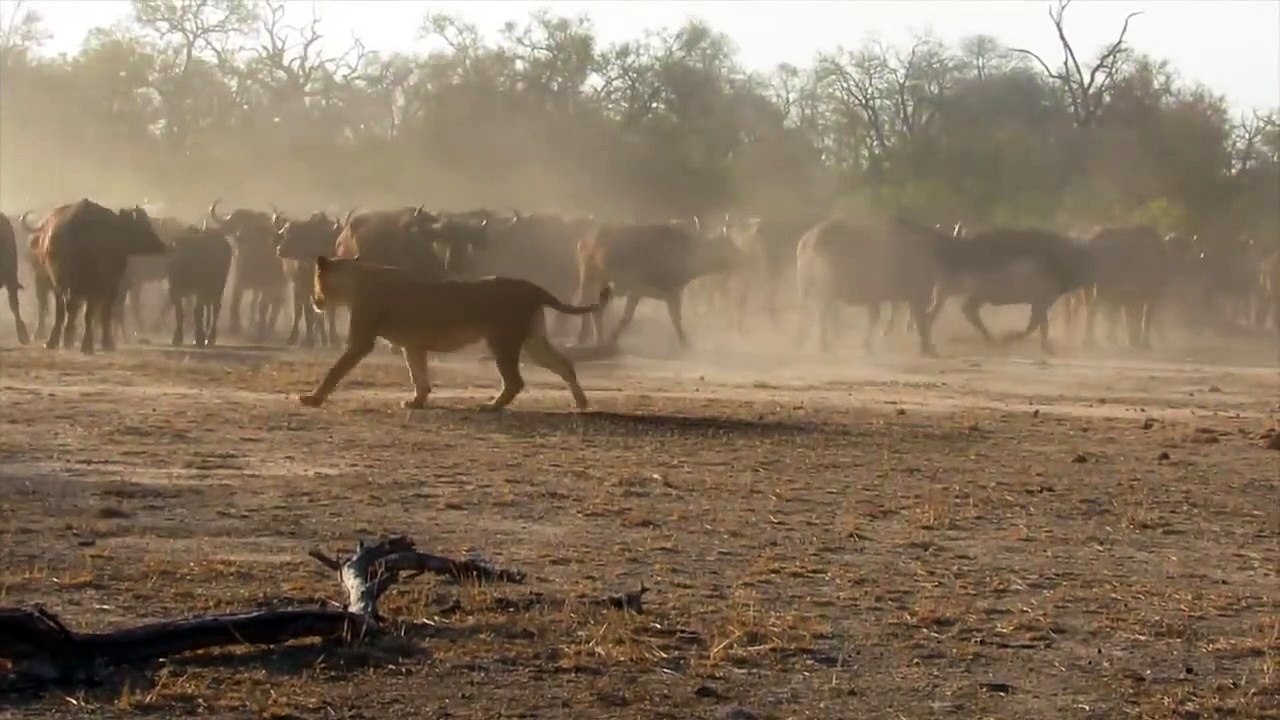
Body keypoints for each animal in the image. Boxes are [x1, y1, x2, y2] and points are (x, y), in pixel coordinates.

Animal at [299, 255, 611, 411]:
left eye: (315, 279)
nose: (314, 299)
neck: (357, 281)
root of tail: (534, 287)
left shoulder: (361, 341)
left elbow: (335, 370)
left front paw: (313, 398)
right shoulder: (413, 345)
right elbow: (418, 375)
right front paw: (417, 401)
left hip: (502, 340)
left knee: (515, 381)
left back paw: (491, 406)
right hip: (534, 341)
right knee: (564, 364)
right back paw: (581, 403)